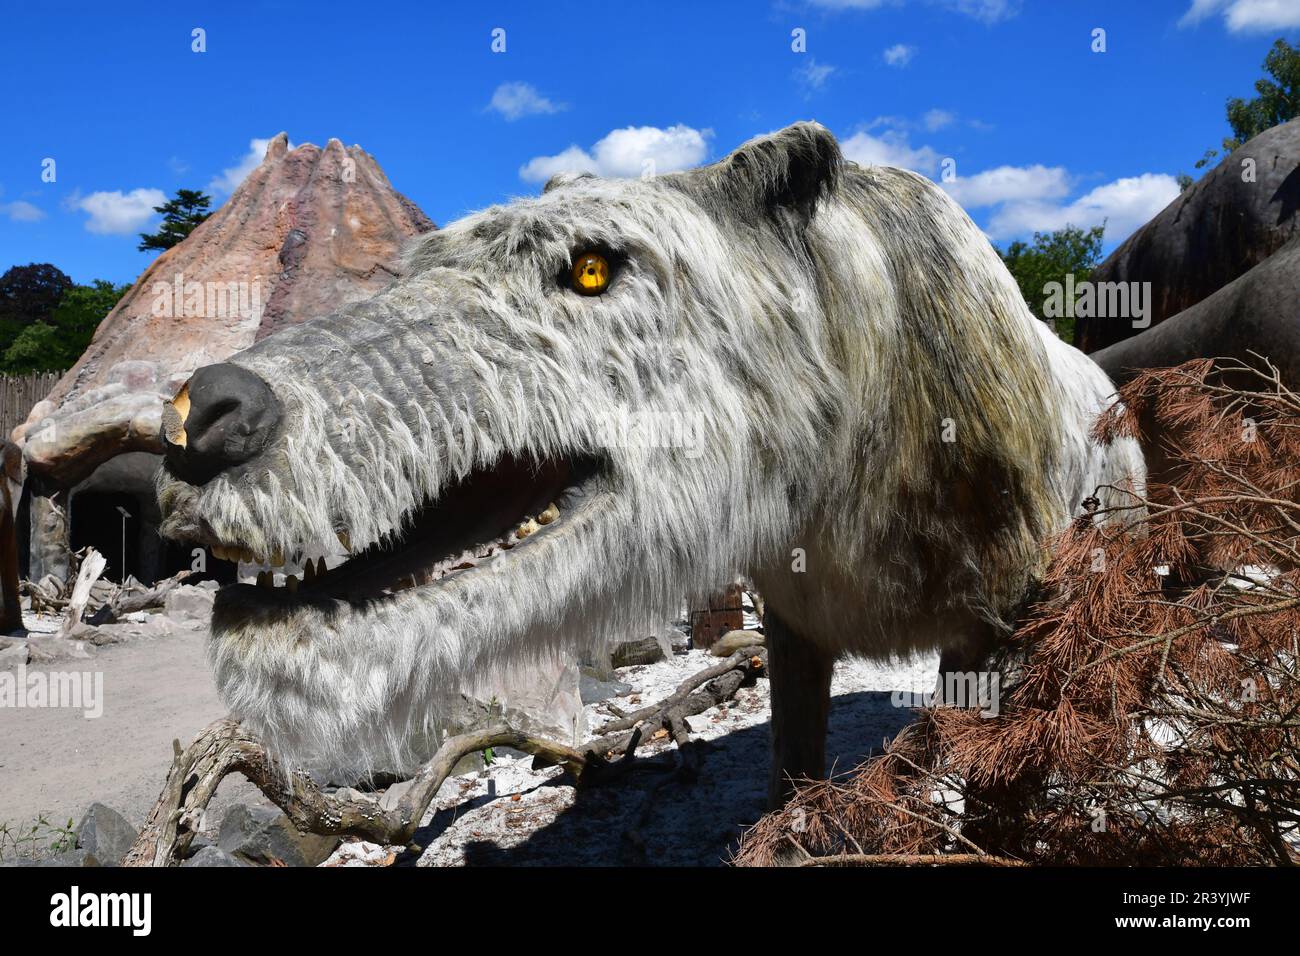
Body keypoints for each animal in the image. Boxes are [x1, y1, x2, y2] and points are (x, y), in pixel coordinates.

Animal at [156, 122, 1144, 805]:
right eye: (417, 269)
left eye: (592, 268)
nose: (201, 416)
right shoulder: (795, 626)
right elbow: (790, 777)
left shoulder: (998, 622)